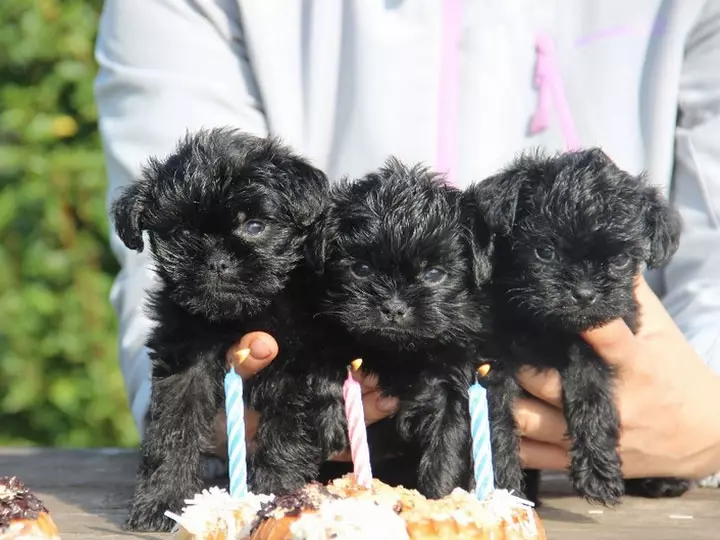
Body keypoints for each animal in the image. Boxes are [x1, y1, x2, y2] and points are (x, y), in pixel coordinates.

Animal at [111, 127, 328, 532]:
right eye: (181, 232)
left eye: (254, 226)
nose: (216, 259)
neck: (238, 317)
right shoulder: (183, 365)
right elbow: (171, 431)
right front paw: (163, 498)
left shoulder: (296, 370)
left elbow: (286, 433)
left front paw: (276, 495)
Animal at [304, 158, 496, 500]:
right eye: (361, 269)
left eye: (434, 274)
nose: (393, 306)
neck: (398, 353)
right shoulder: (326, 330)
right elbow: (325, 362)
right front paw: (327, 422)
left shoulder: (453, 384)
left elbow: (447, 446)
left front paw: (438, 496)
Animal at [464, 149, 688, 506]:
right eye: (545, 252)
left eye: (620, 260)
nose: (584, 293)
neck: (545, 326)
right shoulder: (492, 360)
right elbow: (496, 417)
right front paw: (506, 486)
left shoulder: (593, 346)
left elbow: (592, 395)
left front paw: (599, 471)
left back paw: (662, 479)